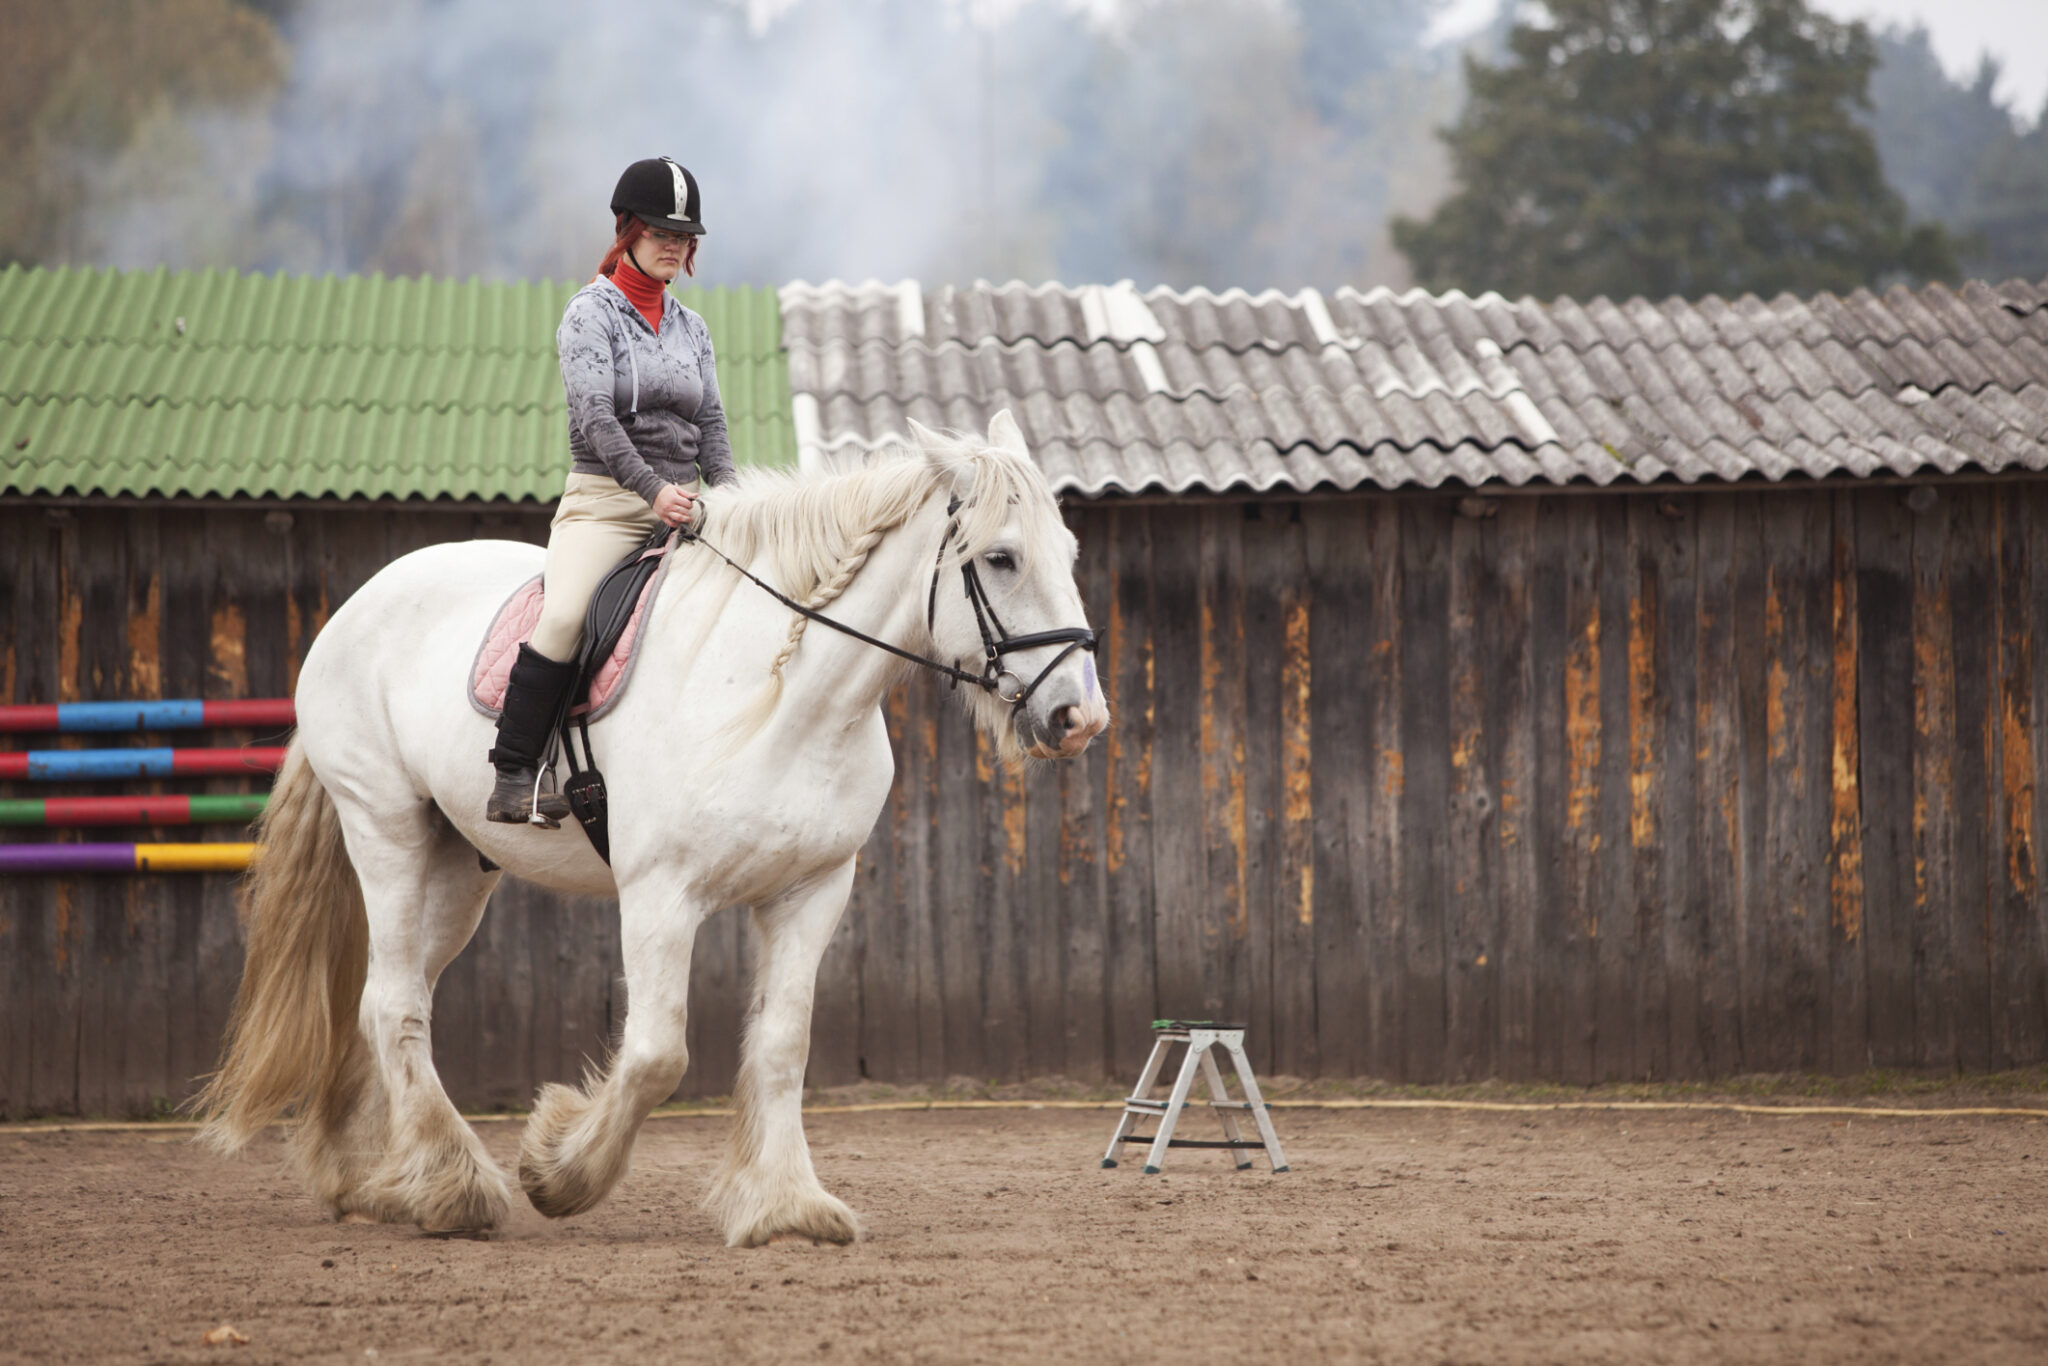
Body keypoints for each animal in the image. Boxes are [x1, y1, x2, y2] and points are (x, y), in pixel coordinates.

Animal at [192, 411, 1109, 1245]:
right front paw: (560, 1172)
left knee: (387, 998)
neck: (778, 698)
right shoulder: (662, 896)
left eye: (1066, 554)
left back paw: (379, 1186)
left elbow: (782, 1044)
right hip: (388, 833)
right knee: (391, 1002)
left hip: (454, 873)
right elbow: (659, 1052)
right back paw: (454, 1193)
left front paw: (786, 1207)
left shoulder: (811, 893)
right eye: (1001, 557)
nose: (1080, 719)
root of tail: (357, 605)